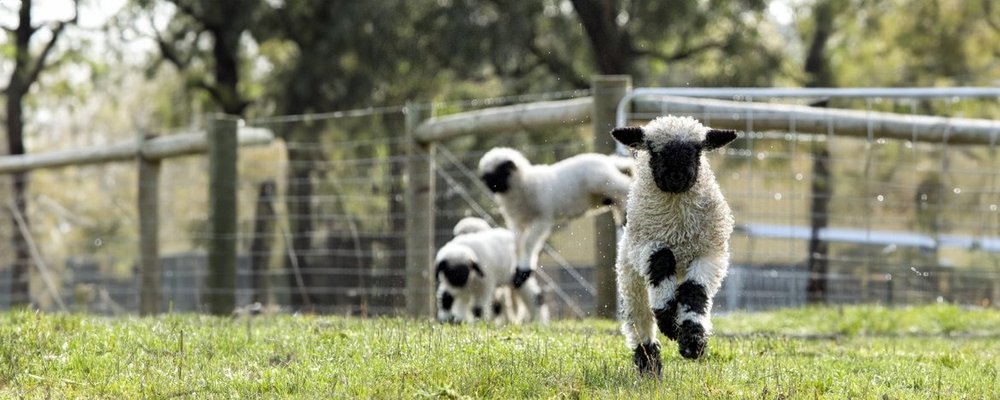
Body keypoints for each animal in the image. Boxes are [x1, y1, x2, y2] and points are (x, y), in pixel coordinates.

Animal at [477, 147, 633, 287]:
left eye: (496, 175)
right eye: (487, 179)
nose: (490, 187)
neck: (521, 185)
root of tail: (607, 160)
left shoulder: (541, 219)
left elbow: (528, 243)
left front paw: (524, 271)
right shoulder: (517, 222)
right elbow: (517, 245)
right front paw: (518, 272)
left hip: (602, 181)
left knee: (625, 185)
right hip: (602, 193)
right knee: (616, 199)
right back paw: (623, 217)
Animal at [610, 115, 738, 377]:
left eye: (696, 151)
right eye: (653, 151)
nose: (677, 177)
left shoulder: (710, 254)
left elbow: (695, 292)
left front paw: (692, 342)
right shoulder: (645, 246)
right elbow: (662, 260)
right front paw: (669, 320)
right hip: (631, 280)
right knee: (640, 324)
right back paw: (650, 368)